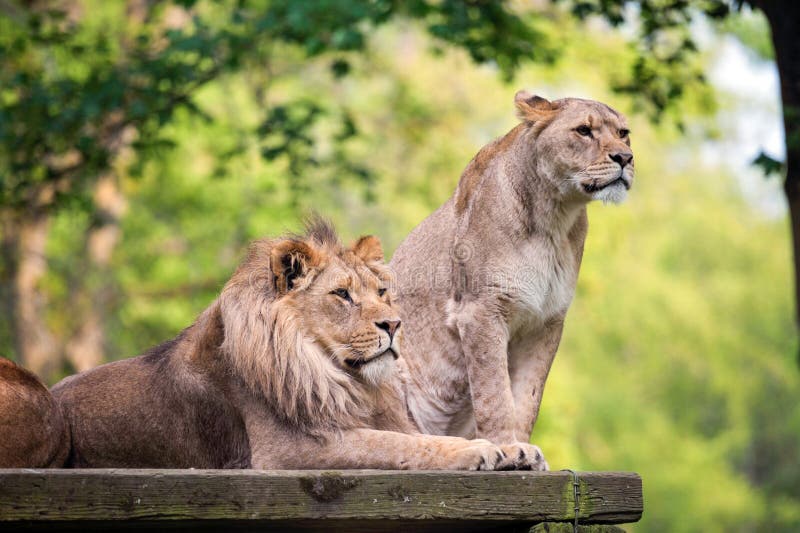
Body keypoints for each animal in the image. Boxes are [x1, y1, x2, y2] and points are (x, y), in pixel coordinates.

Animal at [51, 220, 507, 470]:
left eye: (381, 292)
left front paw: (513, 450)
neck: (332, 374)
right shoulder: (288, 452)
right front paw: (478, 451)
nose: (395, 324)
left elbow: (406, 437)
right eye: (342, 295)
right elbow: (397, 444)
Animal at [390, 92, 634, 470]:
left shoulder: (546, 321)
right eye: (584, 130)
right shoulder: (480, 311)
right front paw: (507, 448)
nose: (625, 158)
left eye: (624, 134)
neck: (555, 217)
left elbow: (528, 396)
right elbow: (495, 392)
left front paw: (527, 454)